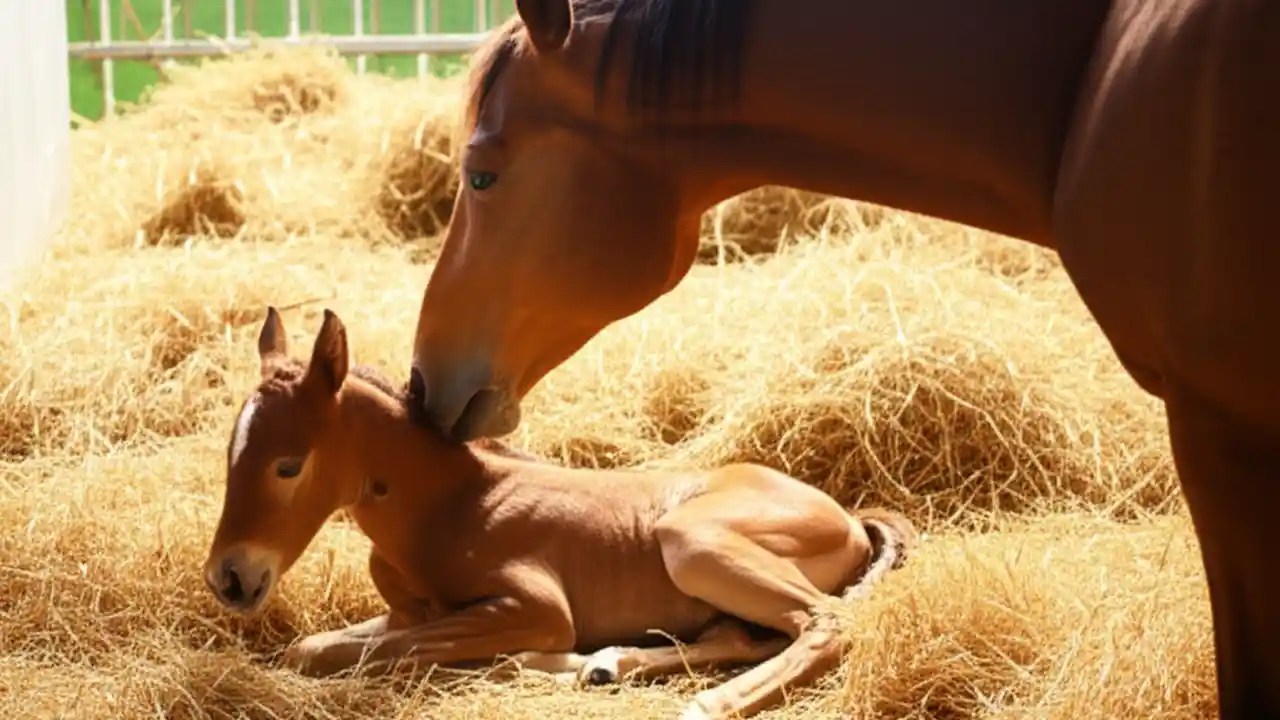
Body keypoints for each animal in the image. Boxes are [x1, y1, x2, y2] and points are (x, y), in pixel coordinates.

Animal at [202, 307, 917, 719]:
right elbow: (317, 648)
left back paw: (707, 703)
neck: (447, 508)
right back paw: (603, 665)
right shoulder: (410, 613)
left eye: (288, 466)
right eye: (230, 454)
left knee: (825, 623)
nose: (228, 578)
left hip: (691, 539)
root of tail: (850, 519)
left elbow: (396, 651)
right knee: (743, 637)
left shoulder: (538, 609)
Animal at [402, 1, 1280, 715]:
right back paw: (611, 661)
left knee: (814, 626)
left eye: (482, 172)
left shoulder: (1218, 432)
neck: (1085, 79)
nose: (420, 384)